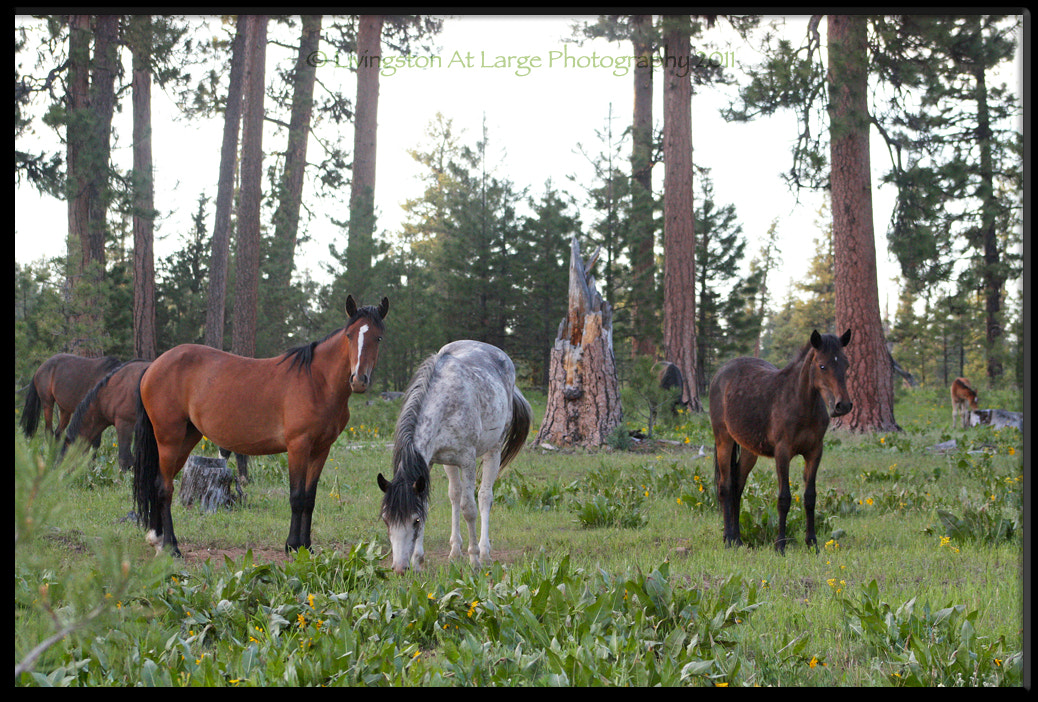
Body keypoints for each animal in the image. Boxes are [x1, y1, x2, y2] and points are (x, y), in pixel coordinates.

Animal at [133, 295, 388, 557]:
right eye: (349, 335)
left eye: (378, 337)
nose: (358, 380)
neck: (317, 382)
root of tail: (153, 366)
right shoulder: (298, 446)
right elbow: (297, 497)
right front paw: (292, 545)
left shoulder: (321, 450)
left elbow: (310, 498)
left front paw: (306, 546)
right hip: (169, 438)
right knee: (164, 489)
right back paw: (171, 546)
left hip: (186, 437)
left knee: (156, 483)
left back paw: (157, 538)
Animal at [377, 340, 532, 575]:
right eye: (386, 520)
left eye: (415, 521)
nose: (400, 568)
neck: (445, 400)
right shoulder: (430, 462)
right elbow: (427, 502)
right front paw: (418, 560)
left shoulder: (467, 460)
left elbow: (469, 509)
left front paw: (474, 559)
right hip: (449, 463)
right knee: (455, 495)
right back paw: (455, 551)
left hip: (493, 451)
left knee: (485, 497)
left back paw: (484, 553)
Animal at [708, 329, 852, 553]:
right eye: (822, 366)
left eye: (846, 364)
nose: (842, 405)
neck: (800, 404)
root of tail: (721, 372)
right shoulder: (782, 453)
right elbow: (784, 498)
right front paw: (780, 545)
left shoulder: (814, 452)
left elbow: (810, 497)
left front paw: (812, 543)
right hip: (724, 440)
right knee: (725, 487)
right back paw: (729, 539)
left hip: (749, 450)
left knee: (737, 487)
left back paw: (739, 540)